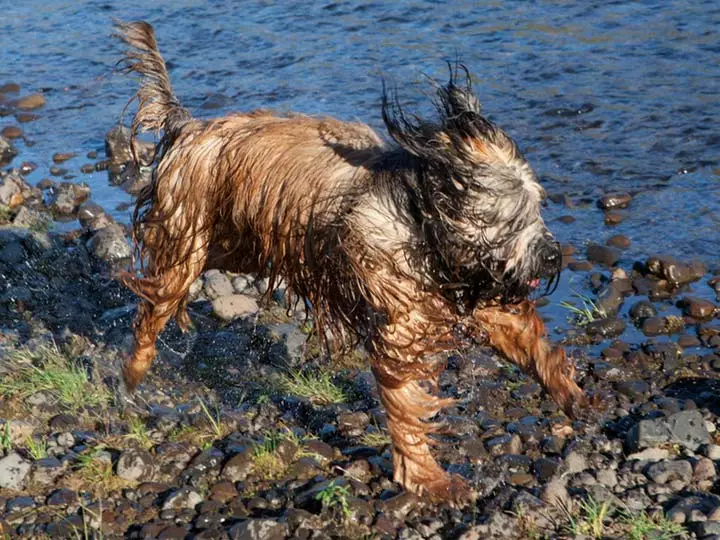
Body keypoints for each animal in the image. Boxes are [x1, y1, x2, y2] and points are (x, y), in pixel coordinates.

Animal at [116, 20, 584, 502]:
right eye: (512, 217)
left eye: (538, 207)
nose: (553, 255)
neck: (420, 216)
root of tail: (189, 128)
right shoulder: (399, 320)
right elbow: (405, 399)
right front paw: (428, 477)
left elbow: (522, 335)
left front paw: (566, 388)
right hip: (183, 241)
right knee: (154, 306)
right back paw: (134, 370)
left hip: (235, 240)